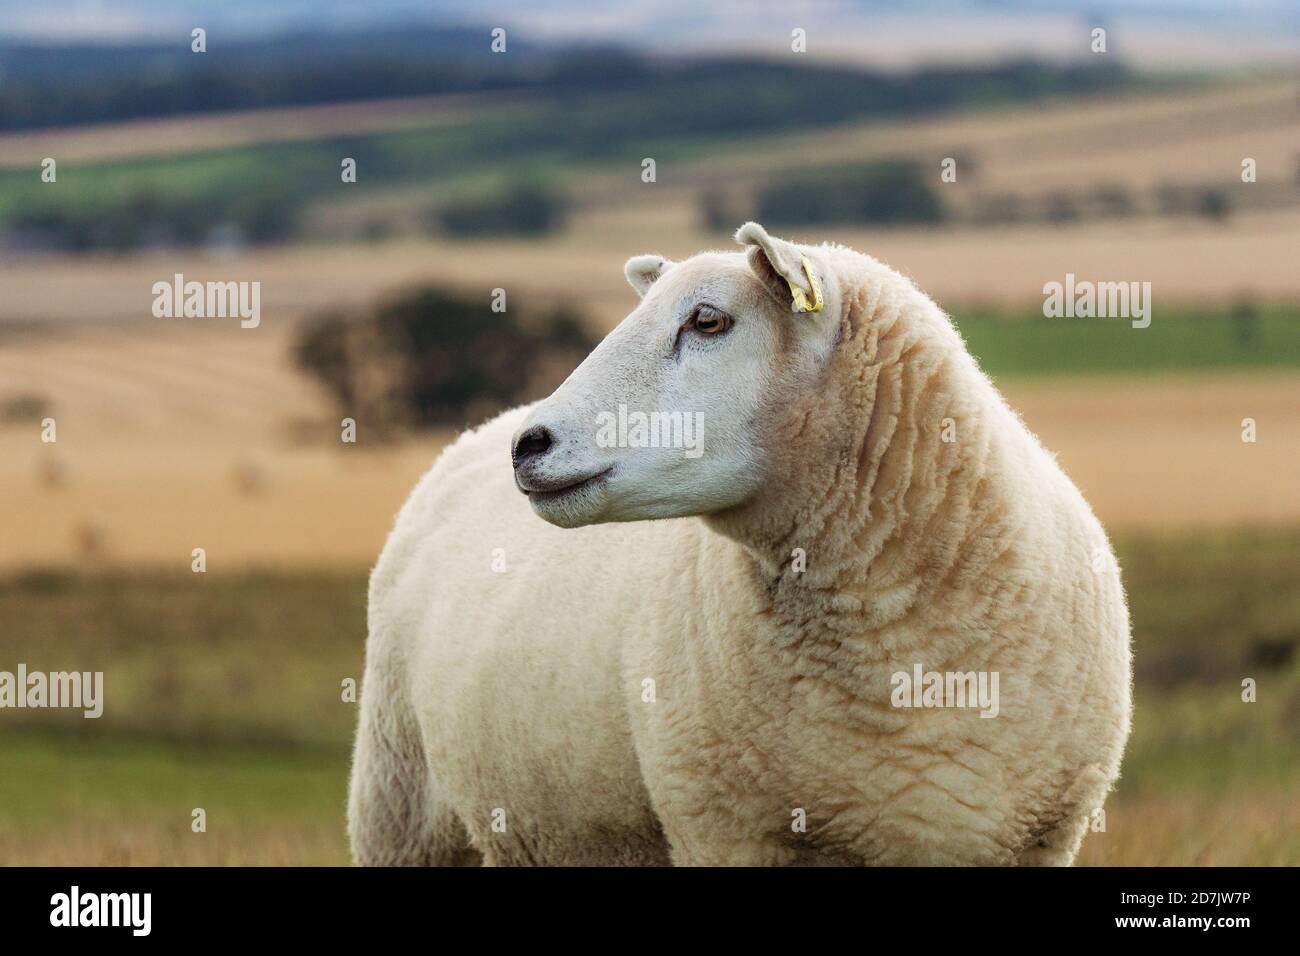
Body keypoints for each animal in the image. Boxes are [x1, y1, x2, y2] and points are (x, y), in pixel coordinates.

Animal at [347, 222, 1132, 866]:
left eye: (708, 320)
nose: (529, 445)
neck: (899, 656)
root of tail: (470, 434)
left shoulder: (1043, 838)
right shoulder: (722, 827)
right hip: (399, 805)